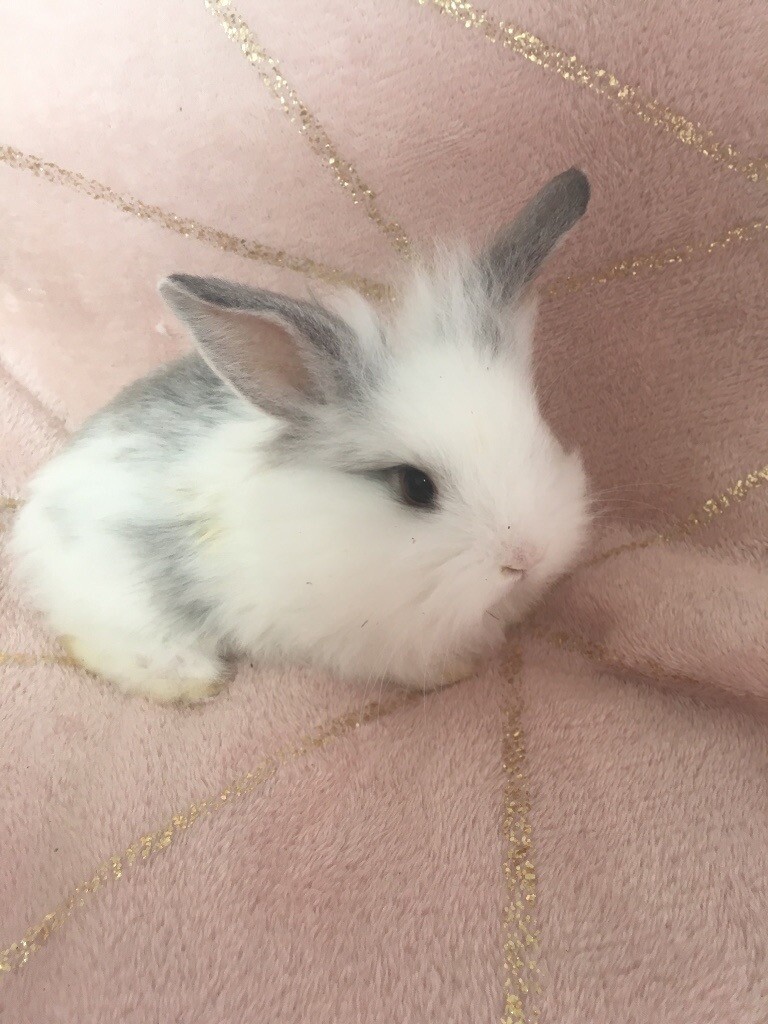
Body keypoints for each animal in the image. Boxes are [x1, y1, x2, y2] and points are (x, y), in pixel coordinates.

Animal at [10, 168, 592, 702]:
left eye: (538, 434)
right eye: (414, 486)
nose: (527, 559)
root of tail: (35, 510)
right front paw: (455, 672)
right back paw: (190, 683)